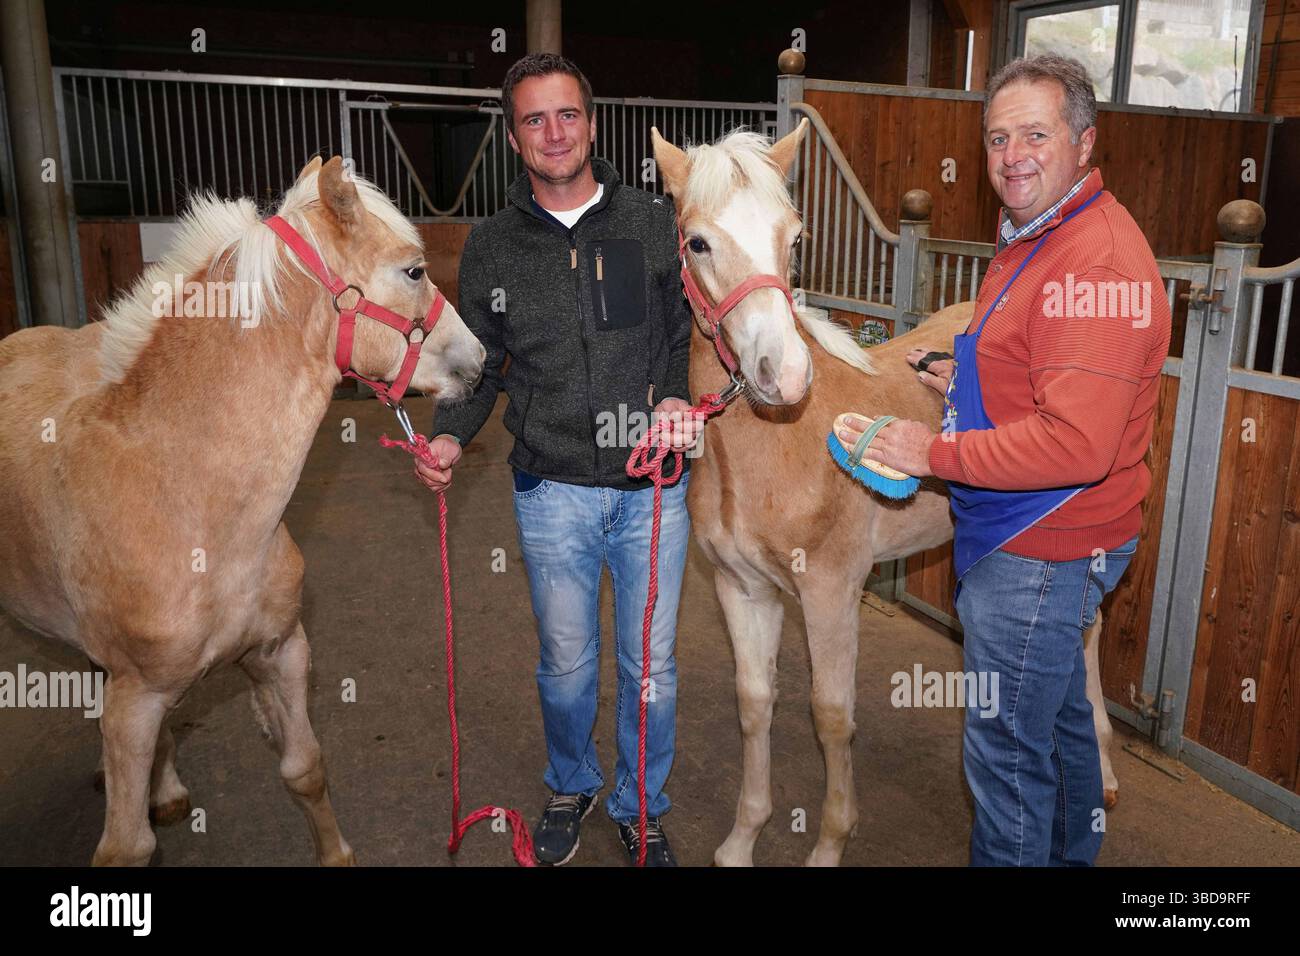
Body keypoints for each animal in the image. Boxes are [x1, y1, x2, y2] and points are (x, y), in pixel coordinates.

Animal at [0, 156, 485, 865]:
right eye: (415, 270)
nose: (480, 359)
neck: (189, 502)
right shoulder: (135, 702)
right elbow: (127, 848)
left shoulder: (280, 650)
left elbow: (304, 768)